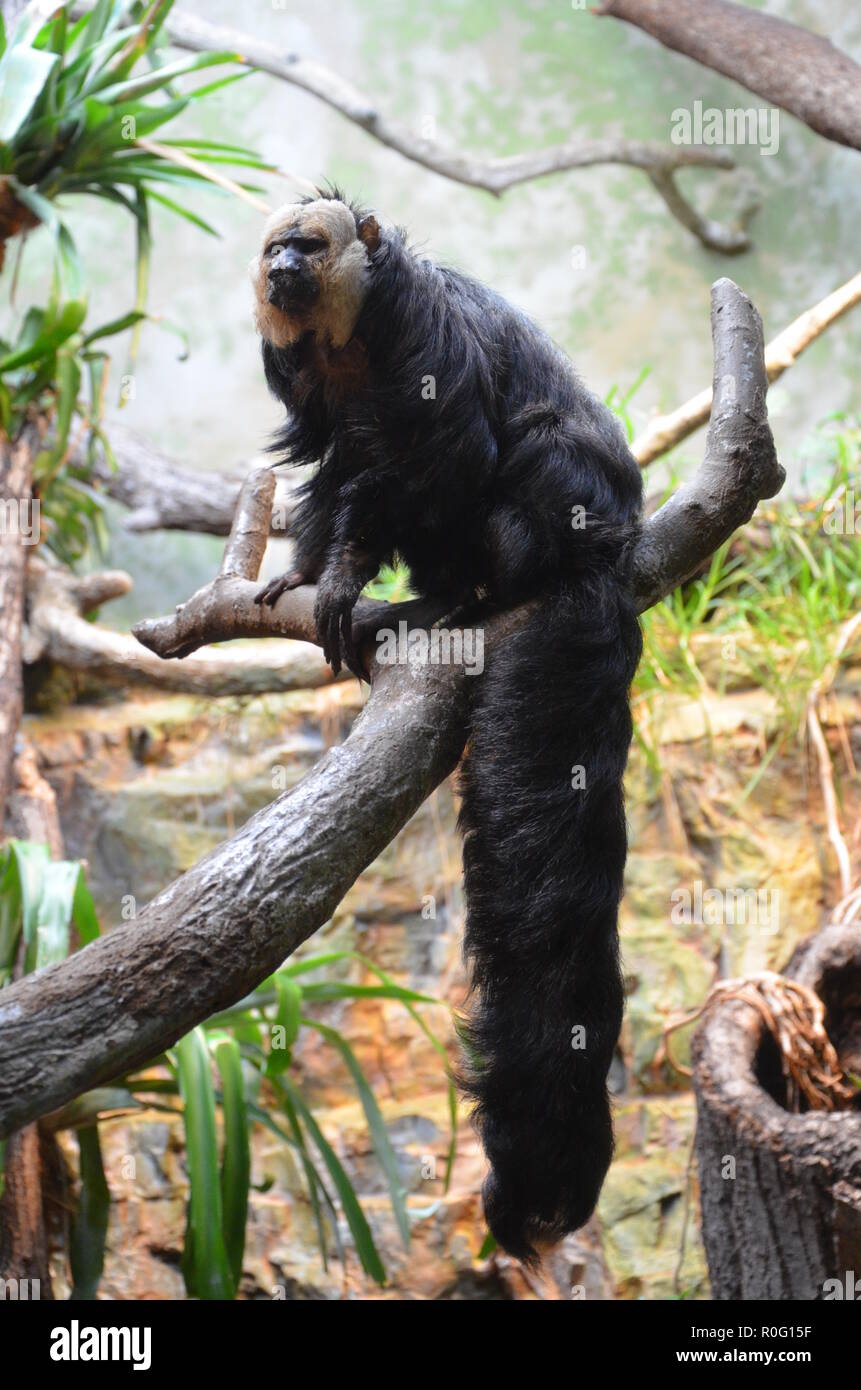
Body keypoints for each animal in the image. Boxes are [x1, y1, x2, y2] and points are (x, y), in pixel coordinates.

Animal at [250, 189, 643, 1263]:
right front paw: (310, 575)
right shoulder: (306, 391)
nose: (284, 268)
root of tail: (605, 561)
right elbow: (331, 469)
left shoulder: (424, 337)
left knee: (534, 452)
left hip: (564, 511)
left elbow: (438, 458)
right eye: (278, 247)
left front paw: (346, 578)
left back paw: (485, 590)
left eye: (309, 245)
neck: (347, 341)